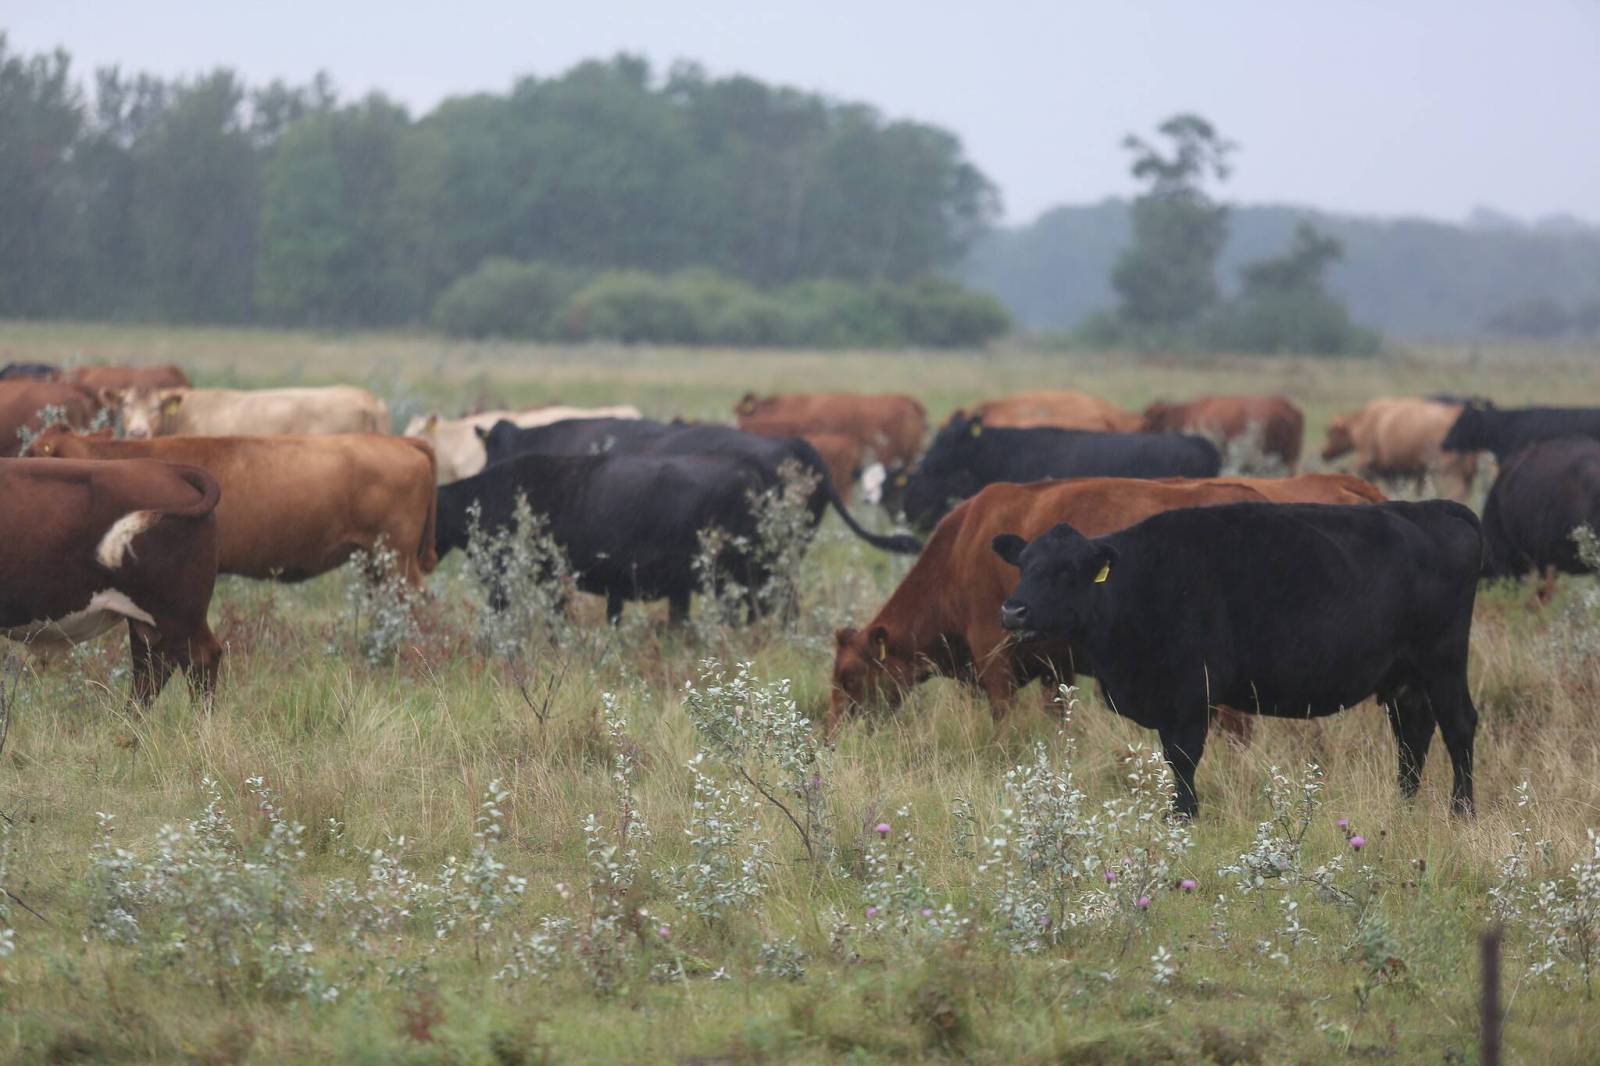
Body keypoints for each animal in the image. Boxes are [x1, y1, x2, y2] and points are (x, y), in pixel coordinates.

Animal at [828, 473, 1386, 738]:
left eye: (849, 678)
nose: (832, 739)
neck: (961, 547)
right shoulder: (1053, 665)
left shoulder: (993, 656)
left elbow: (1003, 720)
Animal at [991, 499, 1482, 817]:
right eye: (1024, 565)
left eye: (1066, 570)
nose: (1013, 610)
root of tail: (1434, 508)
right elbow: (1173, 757)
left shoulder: (1191, 693)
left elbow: (1183, 756)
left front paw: (1184, 814)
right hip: (1406, 675)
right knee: (1412, 733)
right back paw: (1404, 806)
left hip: (1443, 660)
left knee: (1458, 726)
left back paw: (1462, 810)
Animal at [1322, 397, 1478, 498]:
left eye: (1330, 432)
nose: (1324, 453)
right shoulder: (1404, 472)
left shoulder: (1366, 458)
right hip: (1466, 474)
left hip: (1451, 473)